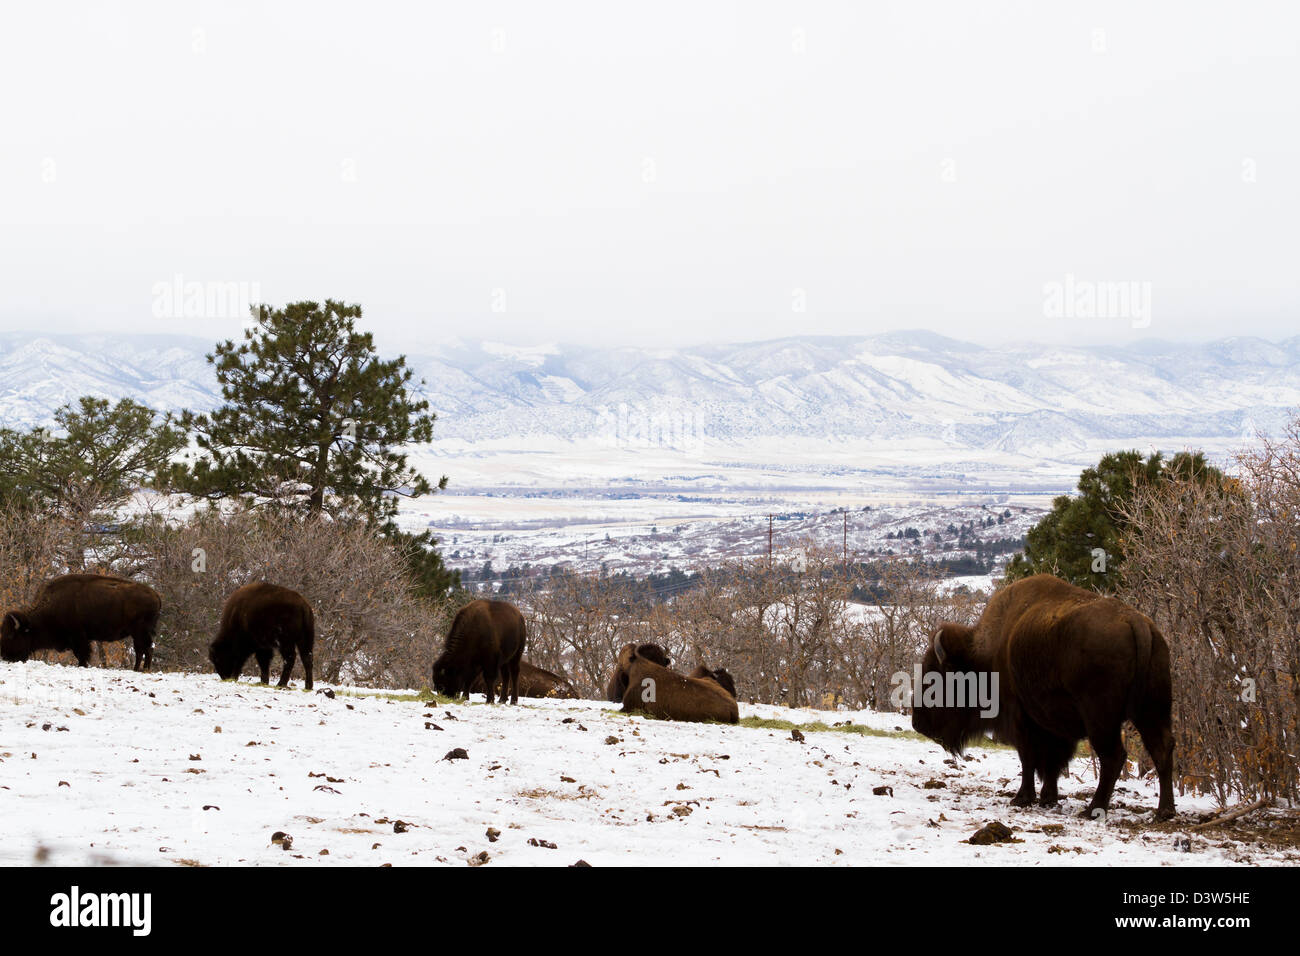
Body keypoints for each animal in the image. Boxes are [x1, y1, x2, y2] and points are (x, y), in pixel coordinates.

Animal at [1, 573, 161, 671]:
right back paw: (136, 669)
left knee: (146, 649)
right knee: (141, 650)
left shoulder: (79, 637)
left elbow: (82, 654)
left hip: (141, 631)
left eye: (11, 635)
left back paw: (143, 669)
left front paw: (82, 666)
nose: (4, 656)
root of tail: (155, 595)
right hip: (136, 633)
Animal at [911, 574, 1175, 820]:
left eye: (935, 678)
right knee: (1162, 748)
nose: (918, 723)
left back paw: (1093, 809)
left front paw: (1022, 798)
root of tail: (1136, 622)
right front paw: (1048, 798)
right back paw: (1164, 811)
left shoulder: (1021, 718)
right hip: (1152, 710)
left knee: (1113, 756)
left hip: (1101, 718)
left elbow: (1029, 758)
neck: (988, 654)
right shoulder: (1054, 726)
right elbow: (1053, 763)